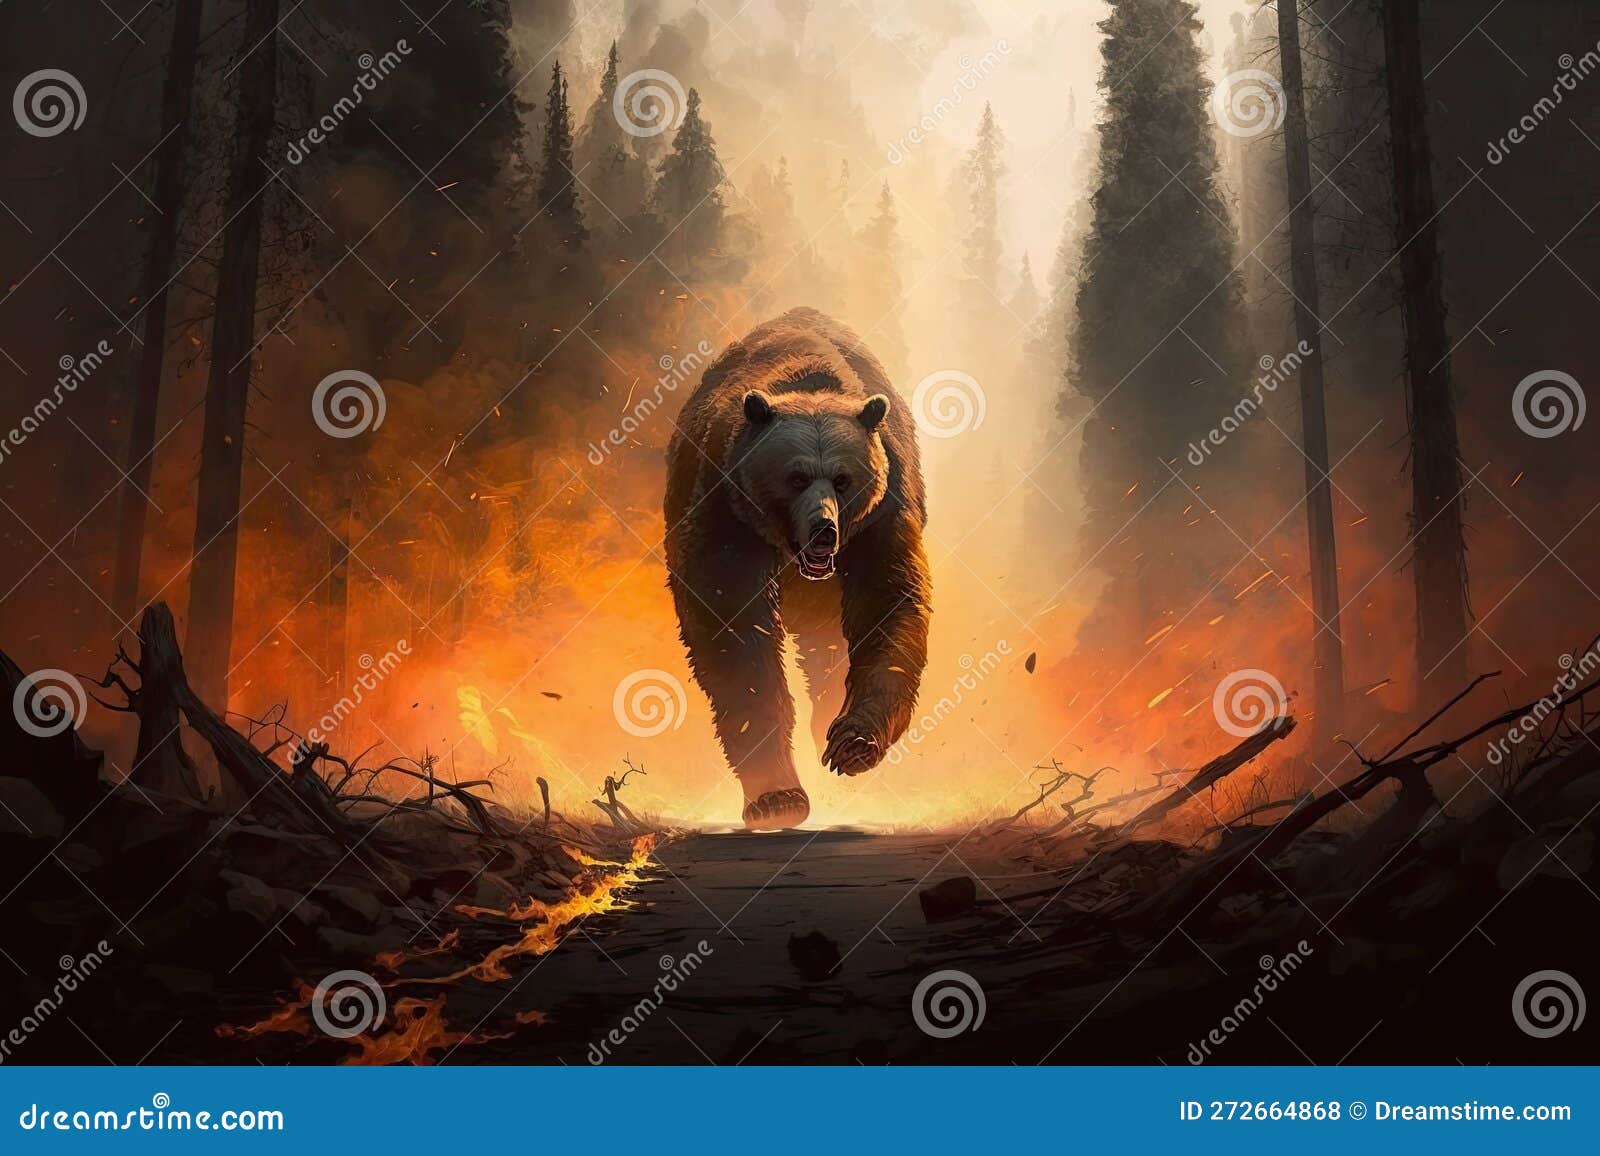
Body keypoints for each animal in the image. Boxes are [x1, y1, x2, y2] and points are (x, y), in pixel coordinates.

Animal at [664, 307, 931, 829]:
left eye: (844, 479)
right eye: (795, 477)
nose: (823, 531)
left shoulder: (880, 515)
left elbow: (890, 604)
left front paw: (853, 743)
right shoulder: (725, 508)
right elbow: (735, 633)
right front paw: (776, 796)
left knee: (825, 645)